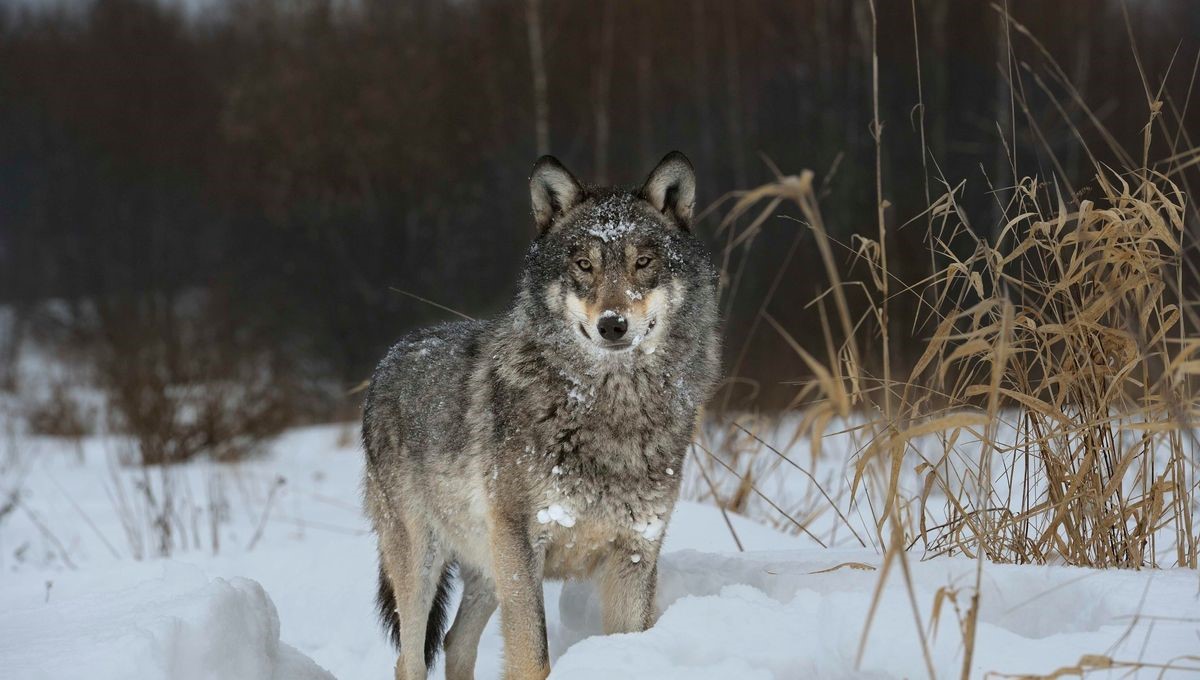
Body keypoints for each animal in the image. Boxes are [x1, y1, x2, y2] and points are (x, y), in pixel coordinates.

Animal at [361, 151, 721, 680]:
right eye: (584, 265)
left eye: (643, 262)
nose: (613, 324)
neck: (611, 409)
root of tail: (391, 355)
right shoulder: (521, 546)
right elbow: (533, 658)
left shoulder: (635, 552)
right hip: (424, 561)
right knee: (409, 660)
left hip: (486, 569)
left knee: (455, 642)